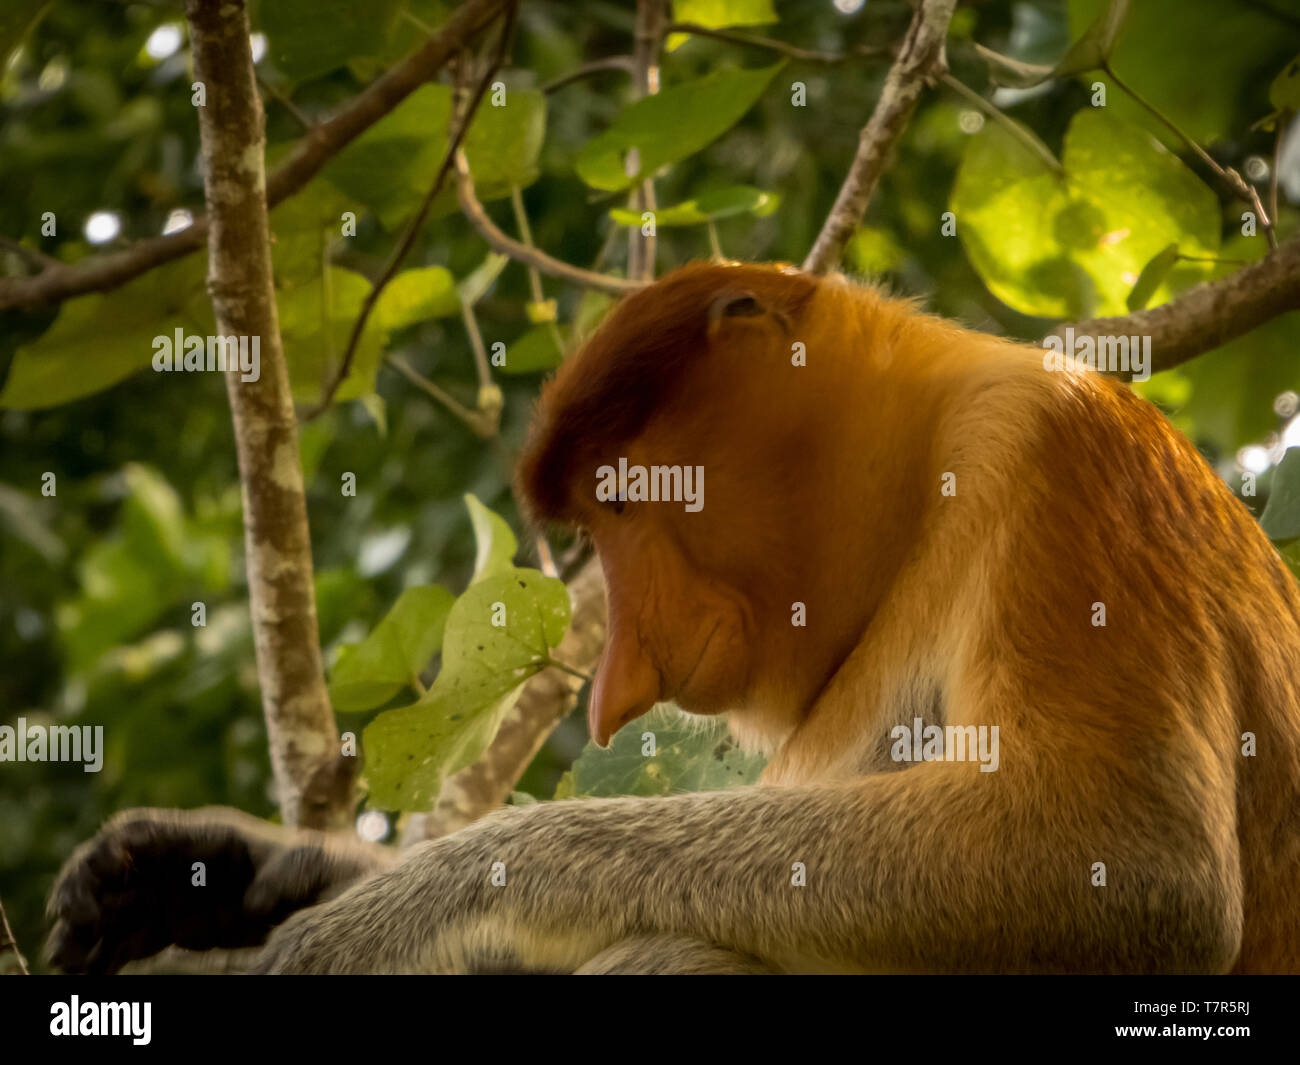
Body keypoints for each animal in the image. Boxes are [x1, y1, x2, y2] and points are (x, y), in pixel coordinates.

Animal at [47, 260, 1300, 974]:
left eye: (621, 501)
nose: (615, 674)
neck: (920, 492)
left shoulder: (1050, 453)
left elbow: (1129, 858)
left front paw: (415, 903)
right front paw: (209, 871)